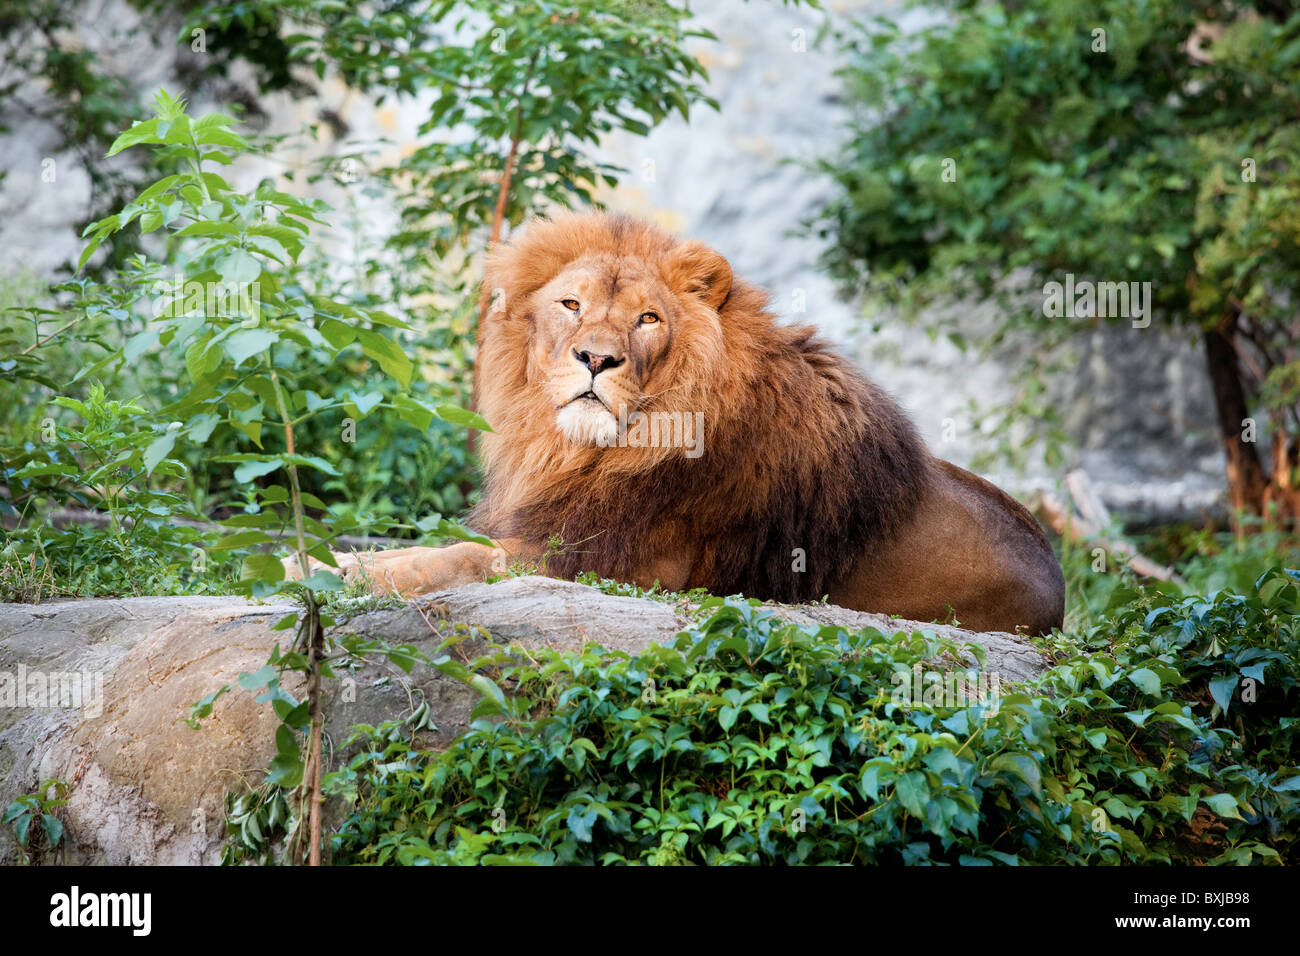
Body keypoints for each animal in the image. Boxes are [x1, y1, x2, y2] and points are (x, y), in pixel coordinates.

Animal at [290, 212, 1065, 635]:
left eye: (647, 319)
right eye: (571, 304)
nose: (596, 359)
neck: (592, 452)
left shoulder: (610, 564)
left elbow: (456, 559)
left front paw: (334, 572)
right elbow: (426, 548)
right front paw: (325, 560)